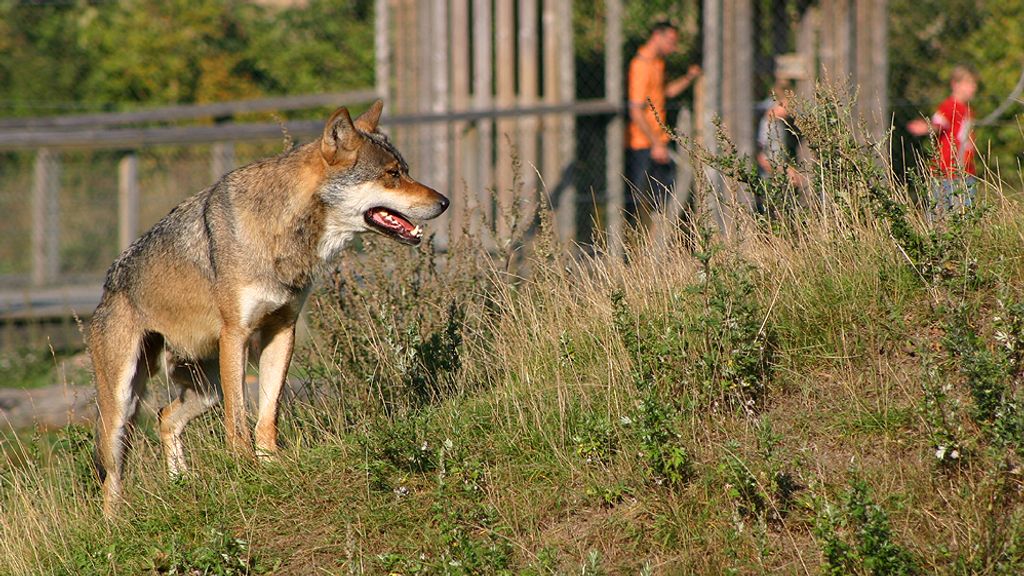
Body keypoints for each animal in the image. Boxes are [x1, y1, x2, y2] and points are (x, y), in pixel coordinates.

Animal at [89, 100, 448, 516]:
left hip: (206, 388)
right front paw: (244, 471)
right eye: (392, 174)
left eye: (405, 169)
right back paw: (116, 524)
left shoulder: (282, 329)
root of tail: (108, 283)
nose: (444, 202)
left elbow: (267, 413)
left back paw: (180, 483)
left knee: (165, 417)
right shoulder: (237, 335)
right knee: (112, 477)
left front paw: (272, 464)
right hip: (123, 404)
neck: (282, 230)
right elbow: (238, 422)